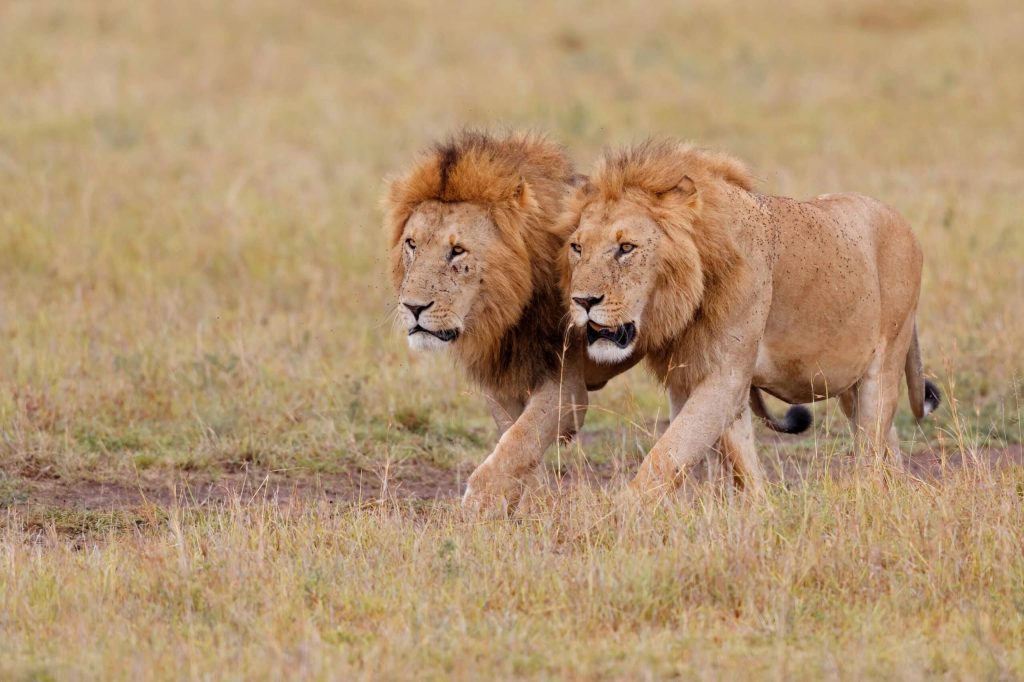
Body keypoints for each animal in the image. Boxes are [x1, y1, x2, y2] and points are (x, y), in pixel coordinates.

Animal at [384, 131, 811, 514]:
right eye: (411, 244)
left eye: (457, 251)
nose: (412, 307)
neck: (500, 312)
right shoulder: (499, 381)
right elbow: (514, 440)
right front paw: (530, 504)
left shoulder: (566, 387)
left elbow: (521, 438)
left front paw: (482, 497)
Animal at [560, 139, 941, 497]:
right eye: (577, 247)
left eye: (626, 248)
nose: (583, 301)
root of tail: (901, 221)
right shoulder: (687, 376)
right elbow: (731, 461)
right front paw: (756, 507)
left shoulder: (726, 376)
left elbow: (668, 454)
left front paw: (616, 514)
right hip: (848, 379)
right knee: (886, 443)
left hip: (884, 363)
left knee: (871, 448)